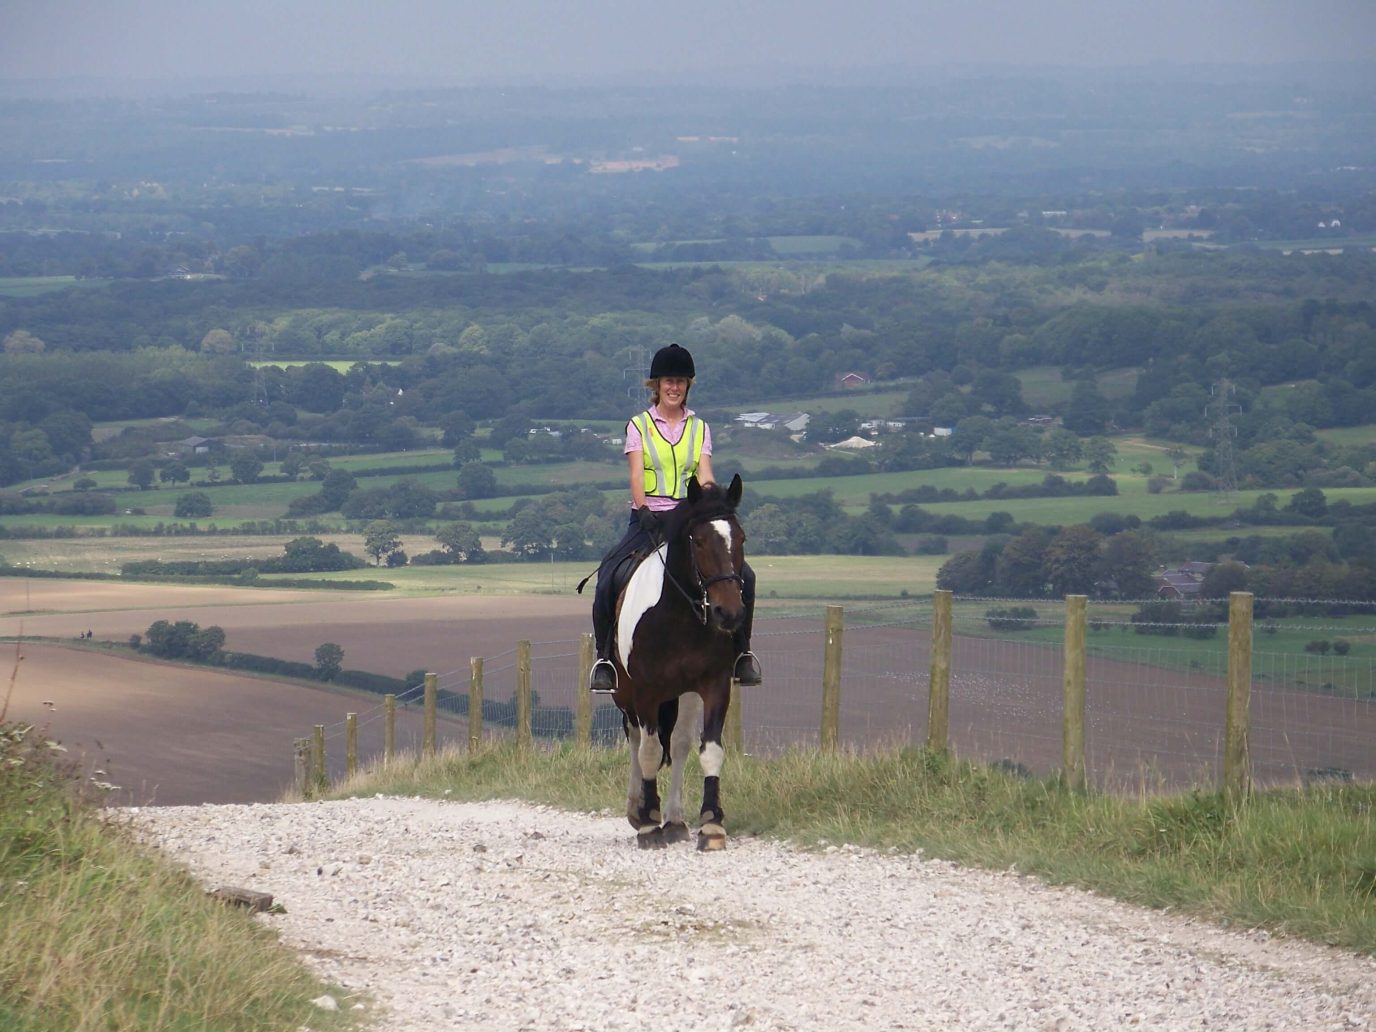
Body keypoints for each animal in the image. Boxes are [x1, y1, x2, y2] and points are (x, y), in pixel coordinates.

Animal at [609, 474, 747, 851]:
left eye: (741, 539)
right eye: (698, 542)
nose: (729, 614)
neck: (679, 617)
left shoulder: (714, 685)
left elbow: (708, 750)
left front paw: (712, 825)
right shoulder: (645, 691)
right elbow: (649, 752)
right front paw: (647, 824)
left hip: (683, 694)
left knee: (680, 742)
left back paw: (672, 820)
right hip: (625, 693)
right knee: (636, 738)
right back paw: (639, 811)